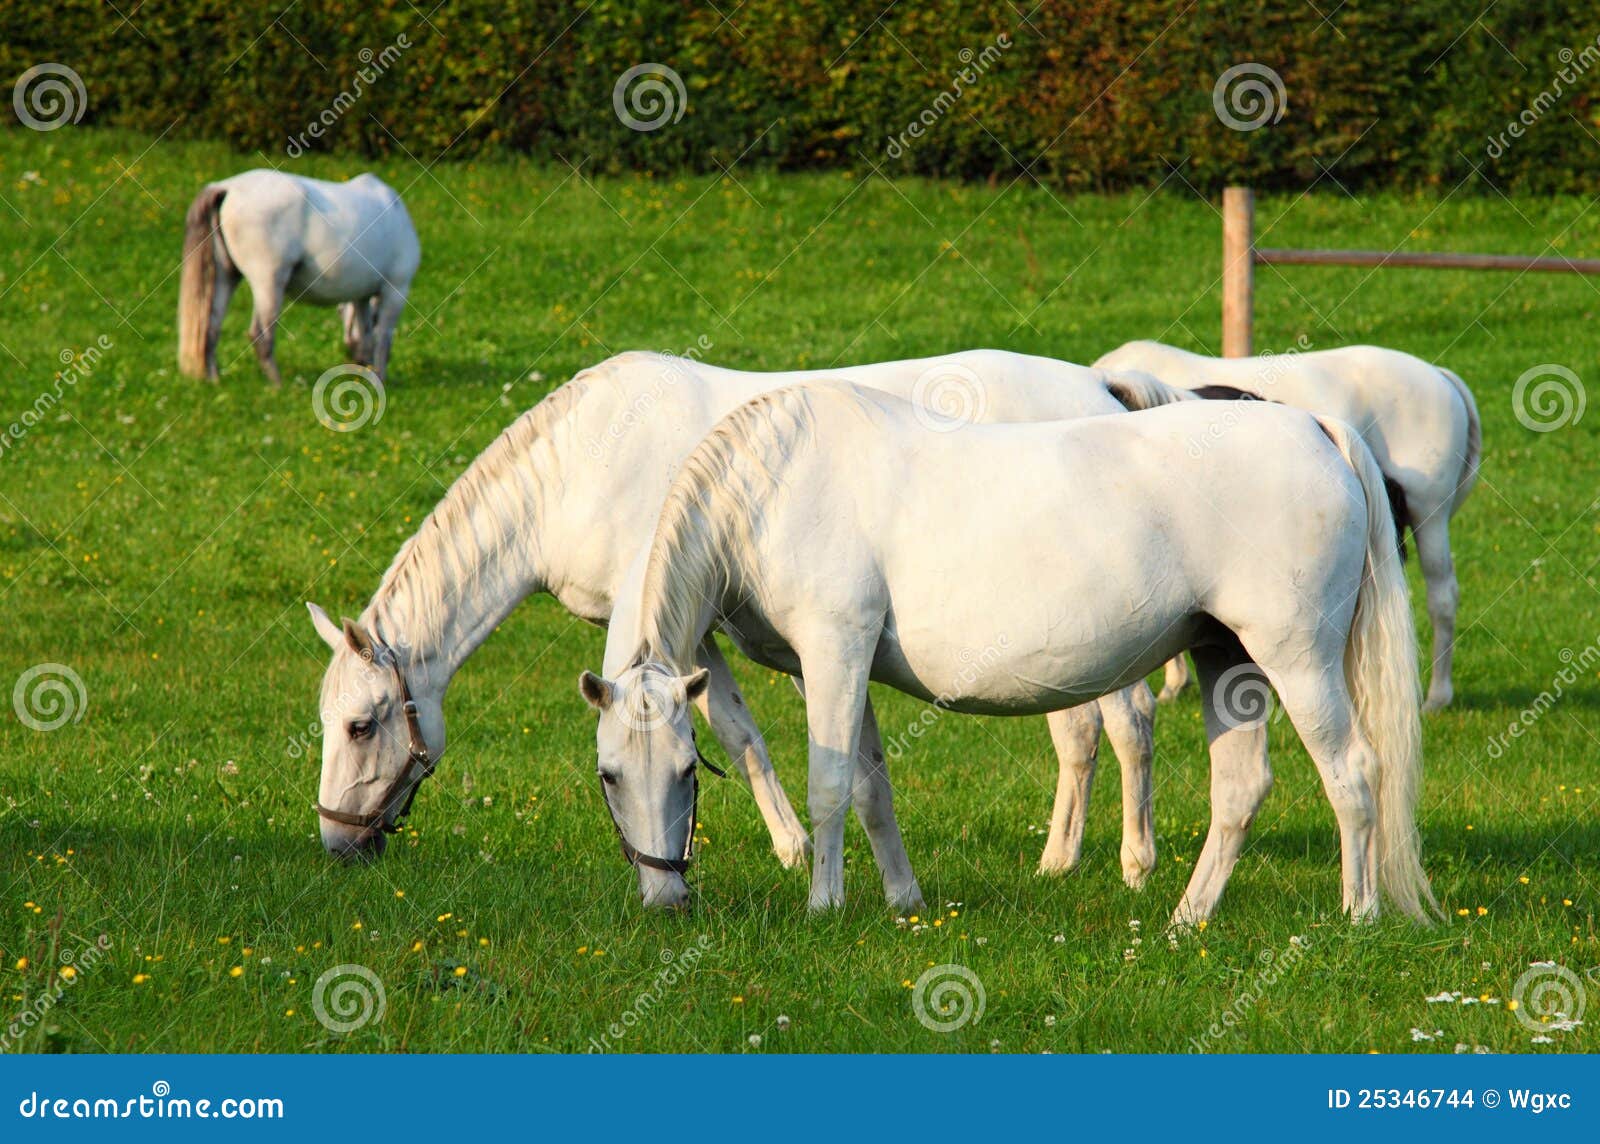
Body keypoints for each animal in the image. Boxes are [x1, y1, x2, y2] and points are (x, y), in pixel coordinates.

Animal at [178, 170, 420, 385]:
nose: (357, 362)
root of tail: (226, 187)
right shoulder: (395, 291)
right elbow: (383, 340)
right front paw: (380, 380)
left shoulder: (361, 296)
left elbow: (368, 337)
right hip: (268, 283)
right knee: (260, 335)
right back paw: (278, 385)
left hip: (226, 277)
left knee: (210, 327)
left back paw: (214, 380)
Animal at [305, 349, 1187, 904]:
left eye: (360, 725)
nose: (335, 843)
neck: (581, 464)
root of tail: (1101, 384)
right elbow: (740, 731)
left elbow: (728, 733)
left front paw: (795, 851)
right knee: (1079, 735)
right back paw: (1058, 861)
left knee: (1130, 724)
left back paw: (1135, 865)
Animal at [581, 383, 1439, 926]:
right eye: (610, 775)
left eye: (687, 772)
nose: (665, 901)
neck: (772, 488)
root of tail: (1316, 427)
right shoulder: (840, 671)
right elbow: (870, 789)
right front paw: (903, 900)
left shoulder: (833, 653)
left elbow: (828, 787)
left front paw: (824, 907)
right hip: (1225, 659)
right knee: (1239, 788)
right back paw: (1186, 919)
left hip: (1296, 658)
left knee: (1353, 773)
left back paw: (1357, 913)